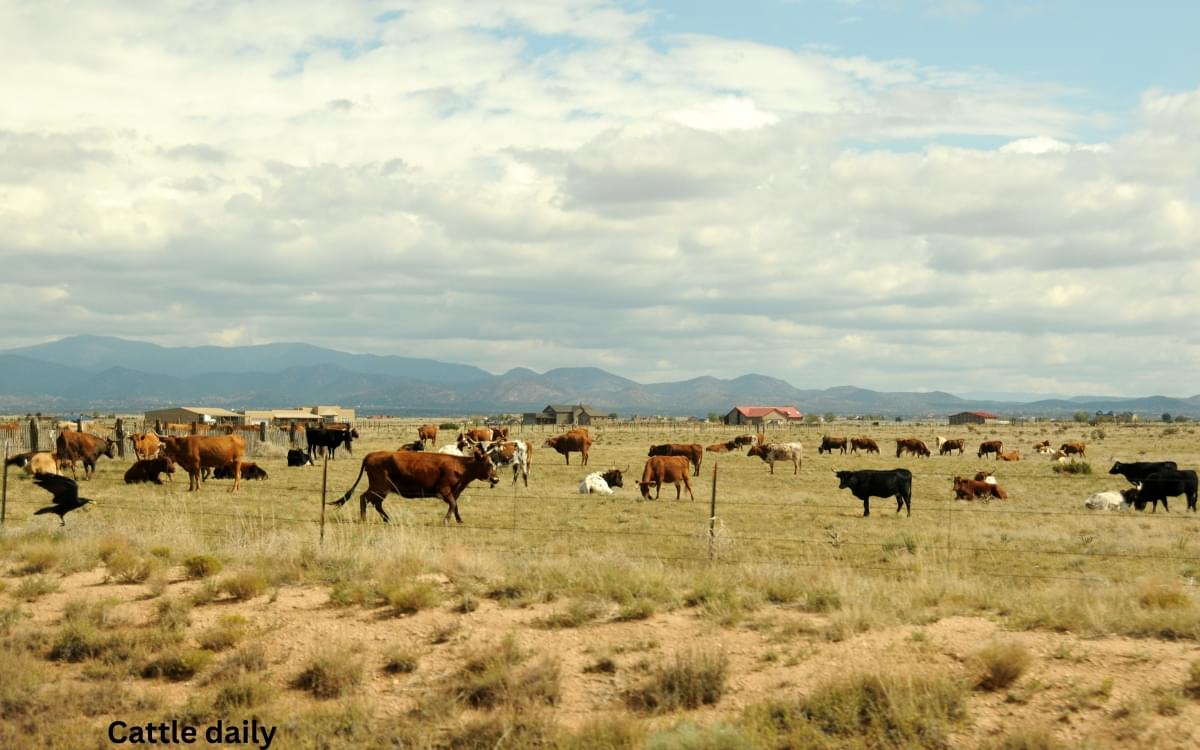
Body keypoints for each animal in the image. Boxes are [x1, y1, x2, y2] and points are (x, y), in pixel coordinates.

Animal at [328, 446, 499, 524]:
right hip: (379, 487)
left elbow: (455, 505)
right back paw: (364, 519)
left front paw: (459, 520)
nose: (496, 479)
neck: (460, 466)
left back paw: (387, 519)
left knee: (376, 503)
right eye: (488, 464)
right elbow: (452, 504)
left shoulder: (454, 491)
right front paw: (446, 520)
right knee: (364, 498)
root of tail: (371, 455)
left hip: (382, 489)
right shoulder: (443, 490)